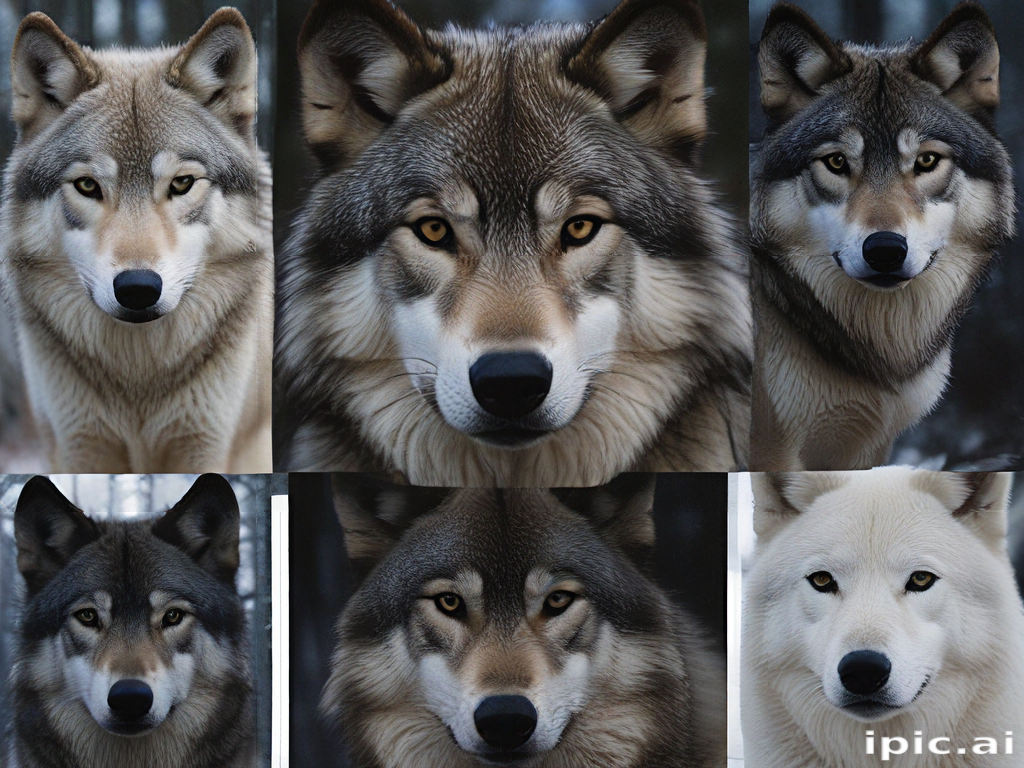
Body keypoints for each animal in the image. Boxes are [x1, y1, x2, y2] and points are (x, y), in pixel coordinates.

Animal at [0, 8, 273, 473]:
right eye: (88, 186)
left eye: (181, 183)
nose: (138, 288)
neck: (138, 381)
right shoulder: (79, 445)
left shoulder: (205, 443)